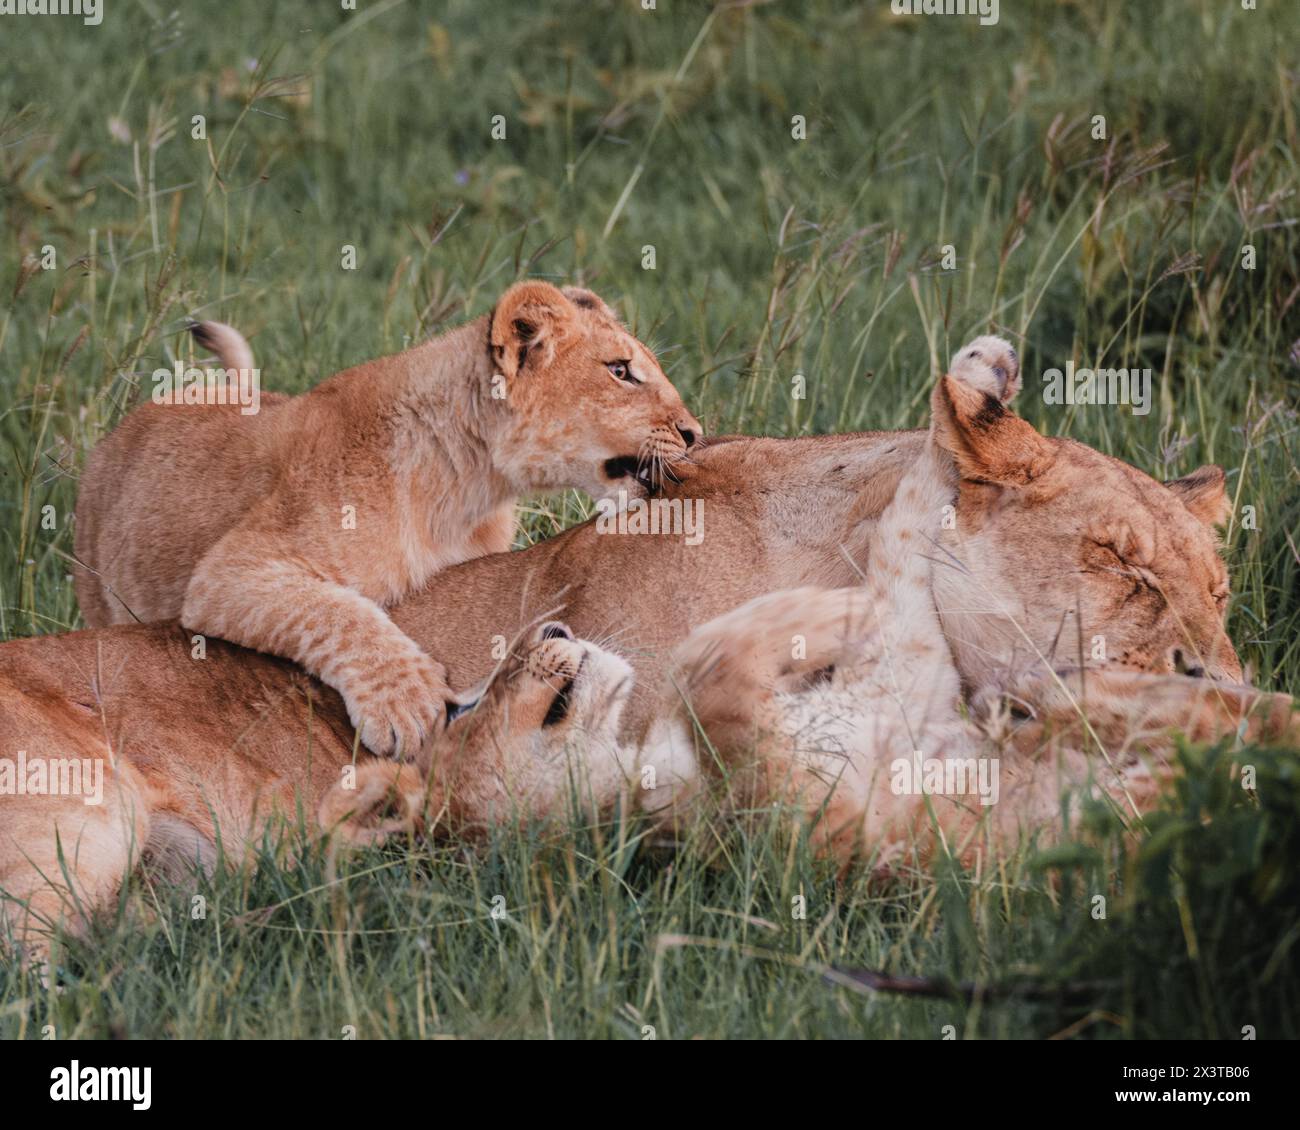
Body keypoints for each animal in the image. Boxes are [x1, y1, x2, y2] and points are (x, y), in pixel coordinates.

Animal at [73, 281, 702, 758]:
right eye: (620, 371)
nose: (694, 433)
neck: (470, 483)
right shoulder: (233, 569)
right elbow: (338, 612)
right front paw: (408, 706)